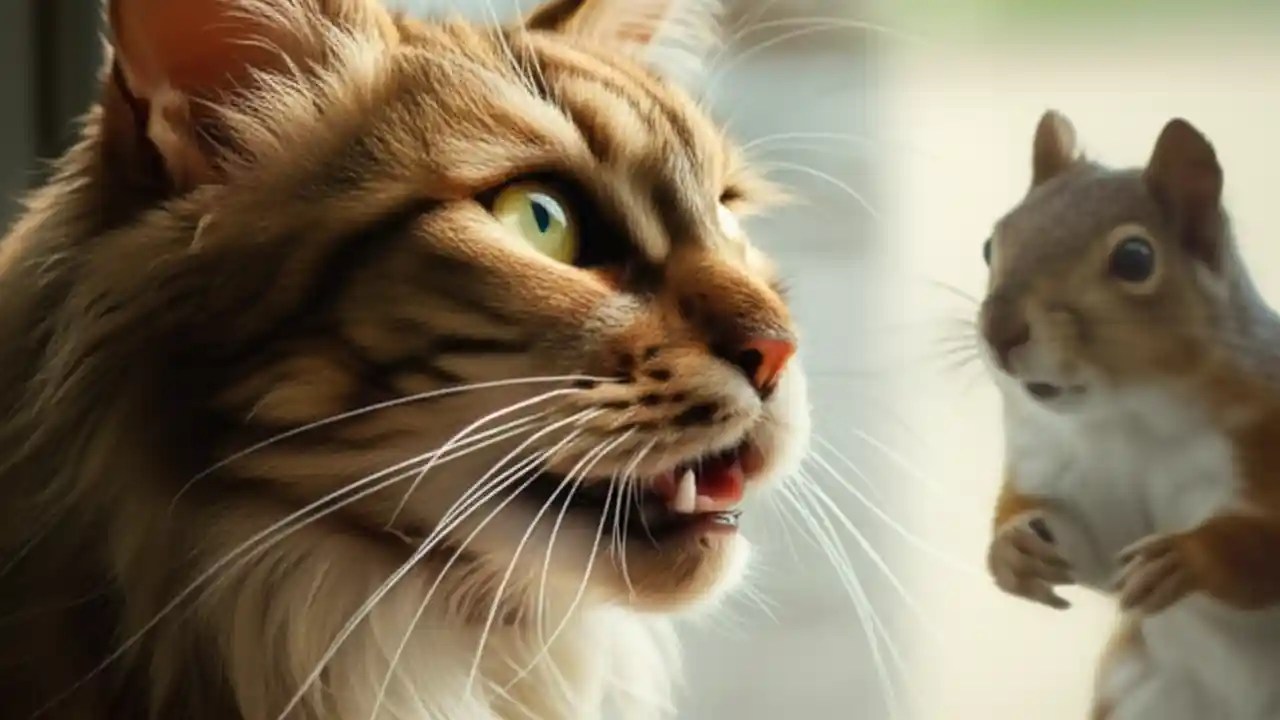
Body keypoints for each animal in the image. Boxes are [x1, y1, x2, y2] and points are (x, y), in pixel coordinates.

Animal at [980, 111, 1280, 720]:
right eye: (988, 247)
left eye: (1135, 259)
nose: (997, 331)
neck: (1123, 418)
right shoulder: (1071, 481)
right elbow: (1086, 547)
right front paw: (1012, 548)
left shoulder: (1266, 437)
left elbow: (1265, 546)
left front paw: (1190, 557)